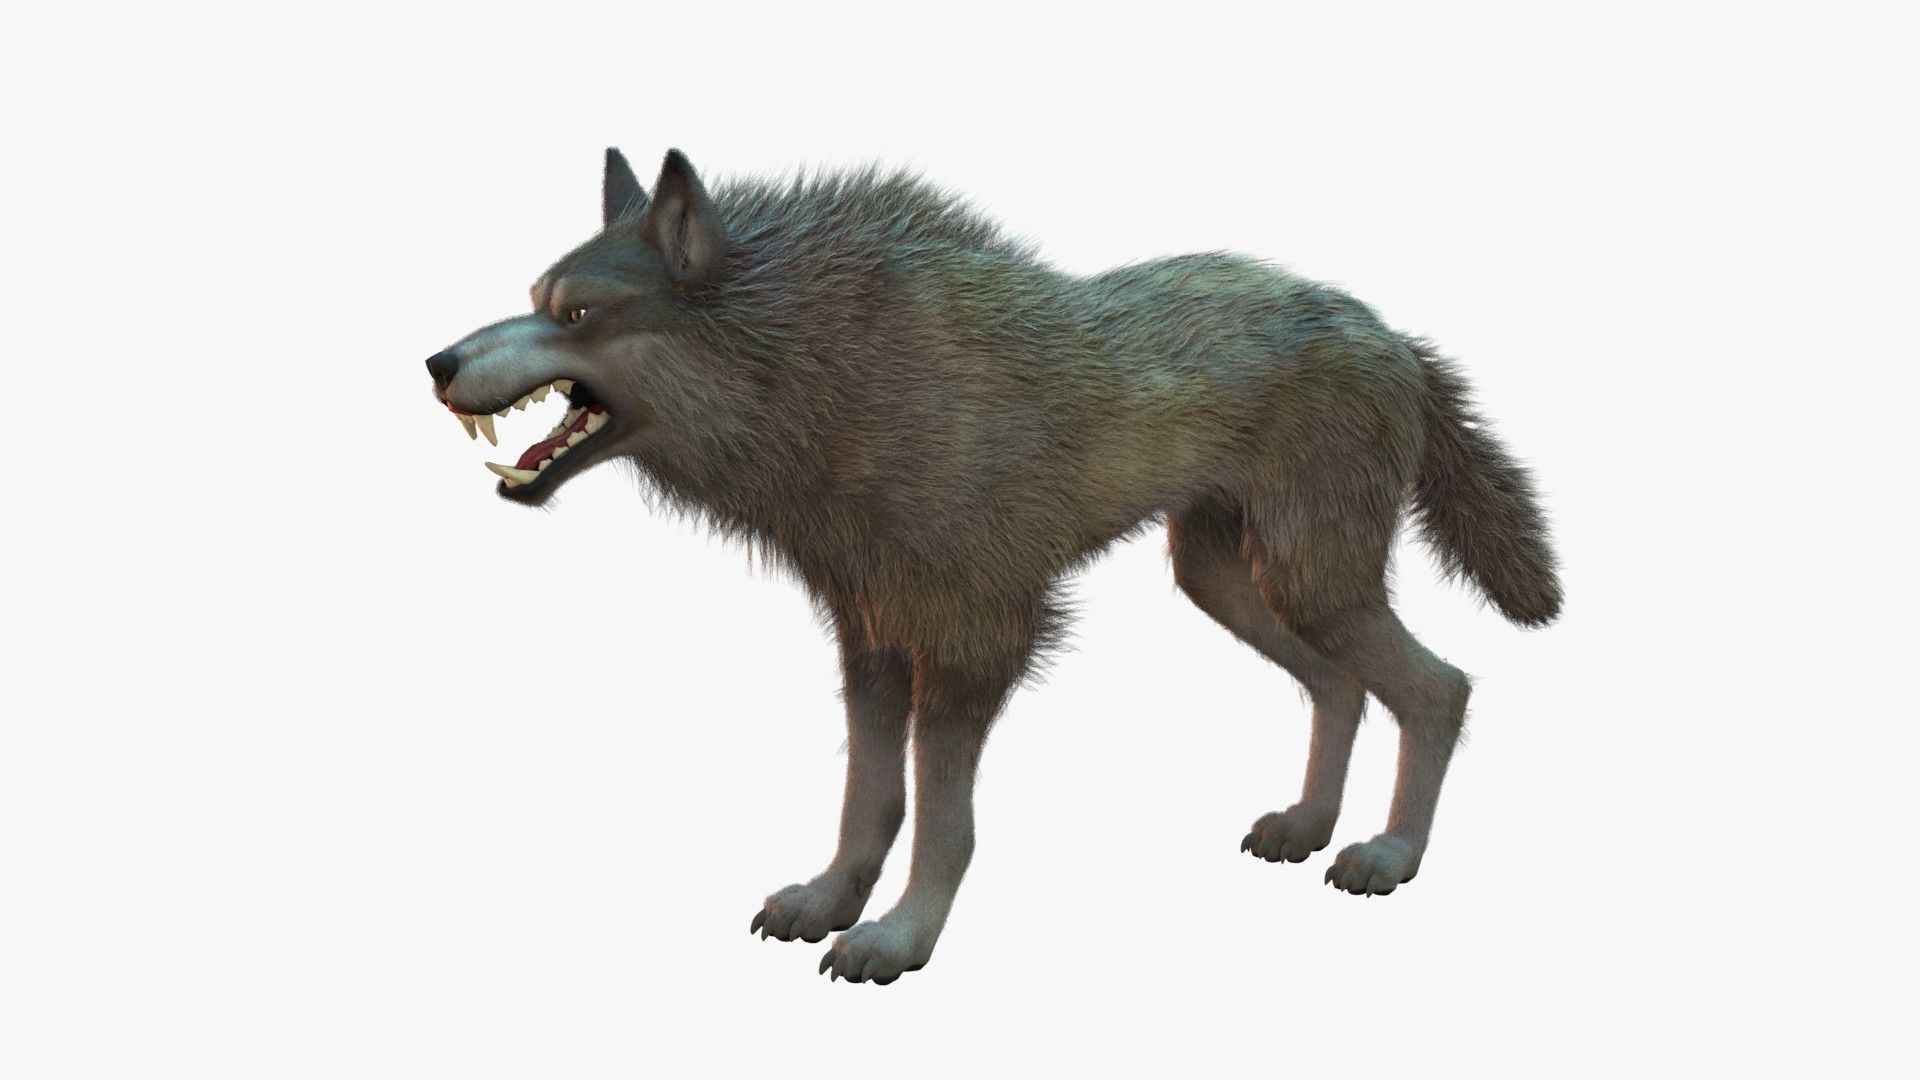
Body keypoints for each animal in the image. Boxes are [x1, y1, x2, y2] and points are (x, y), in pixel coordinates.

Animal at [423, 148, 1562, 984]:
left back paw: (1390, 856)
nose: (436, 361)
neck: (816, 375)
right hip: (1228, 579)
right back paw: (1311, 828)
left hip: (1311, 576)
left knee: (1437, 688)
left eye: (576, 316)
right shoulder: (872, 636)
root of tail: (1398, 337)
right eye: (535, 296)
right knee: (1341, 684)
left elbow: (941, 818)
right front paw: (833, 899)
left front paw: (900, 936)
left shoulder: (975, 637)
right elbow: (870, 796)